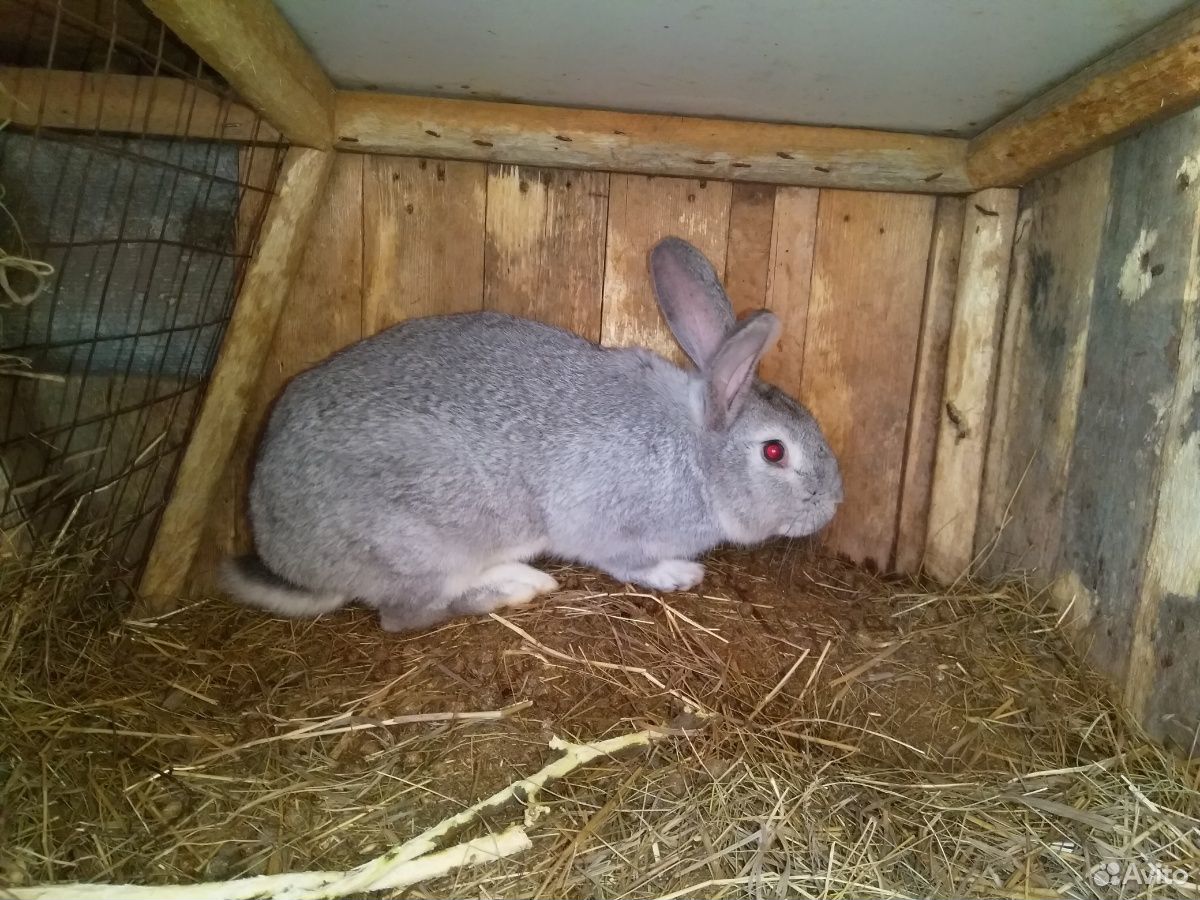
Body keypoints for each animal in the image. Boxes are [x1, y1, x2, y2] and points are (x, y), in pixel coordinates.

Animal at [220, 236, 843, 632]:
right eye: (774, 451)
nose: (832, 504)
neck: (696, 453)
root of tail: (283, 552)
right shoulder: (606, 524)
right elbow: (628, 563)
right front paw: (680, 574)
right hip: (421, 544)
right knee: (406, 616)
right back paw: (517, 586)